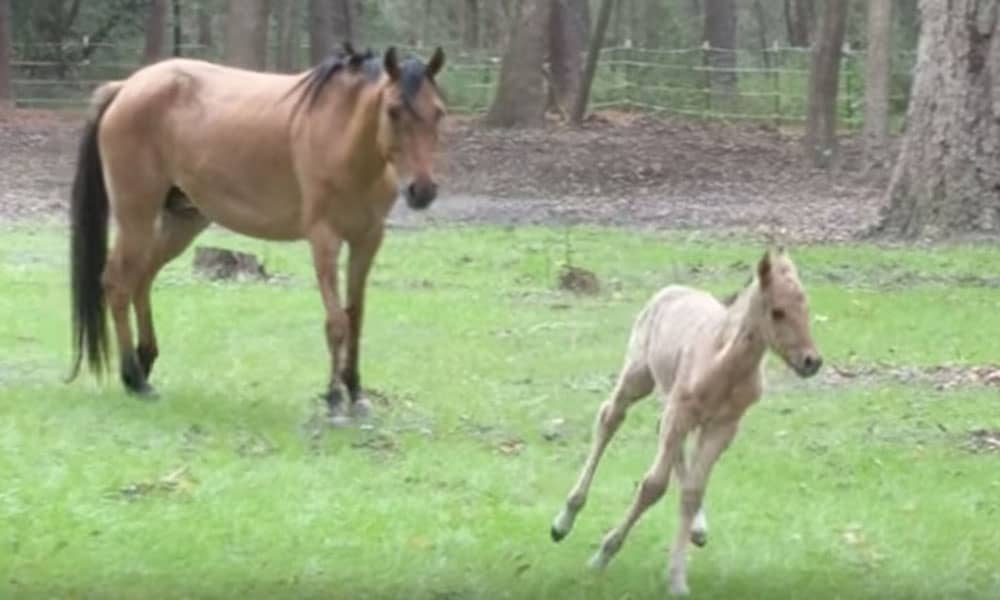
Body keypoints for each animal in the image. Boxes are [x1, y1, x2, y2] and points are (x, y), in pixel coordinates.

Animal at [66, 43, 447, 423]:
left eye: (439, 113)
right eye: (393, 111)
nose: (422, 191)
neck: (342, 135)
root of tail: (125, 87)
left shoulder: (367, 240)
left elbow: (356, 318)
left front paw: (356, 393)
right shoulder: (324, 238)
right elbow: (337, 322)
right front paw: (335, 399)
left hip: (182, 222)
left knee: (141, 279)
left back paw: (144, 362)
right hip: (137, 217)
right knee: (118, 283)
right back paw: (135, 378)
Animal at [549, 247, 822, 596]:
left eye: (806, 307)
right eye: (777, 312)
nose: (812, 361)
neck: (725, 365)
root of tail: (671, 289)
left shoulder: (723, 426)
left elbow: (692, 491)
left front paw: (677, 577)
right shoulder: (681, 412)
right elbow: (653, 486)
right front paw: (603, 554)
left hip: (682, 410)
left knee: (668, 444)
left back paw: (698, 528)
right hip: (640, 377)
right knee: (610, 417)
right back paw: (564, 519)